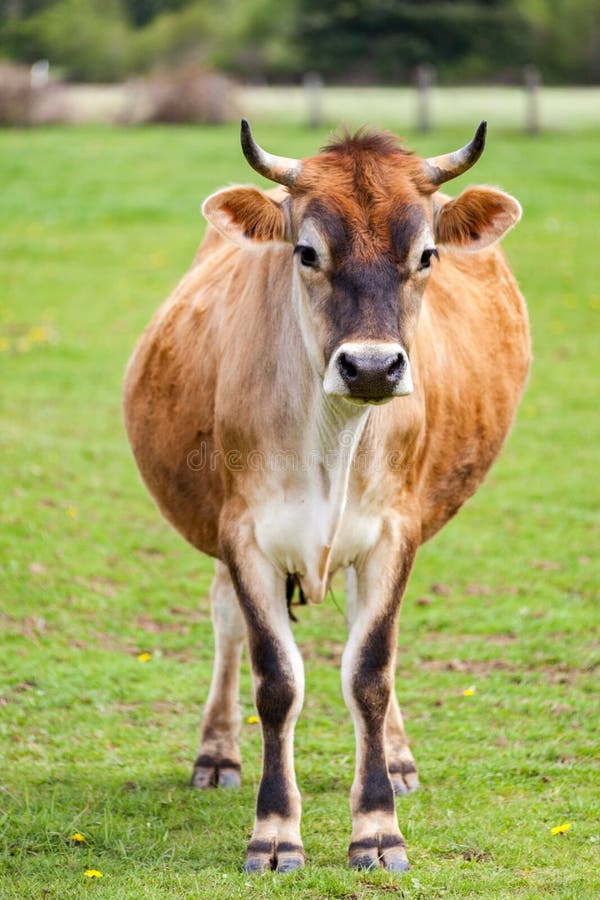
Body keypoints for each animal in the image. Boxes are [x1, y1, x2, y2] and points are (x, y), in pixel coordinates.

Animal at [123, 120, 530, 874]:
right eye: (307, 251)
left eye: (426, 253)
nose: (371, 366)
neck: (330, 438)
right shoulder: (244, 535)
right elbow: (277, 681)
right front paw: (275, 832)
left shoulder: (394, 532)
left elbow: (368, 670)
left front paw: (378, 826)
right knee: (225, 622)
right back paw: (217, 753)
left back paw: (396, 758)